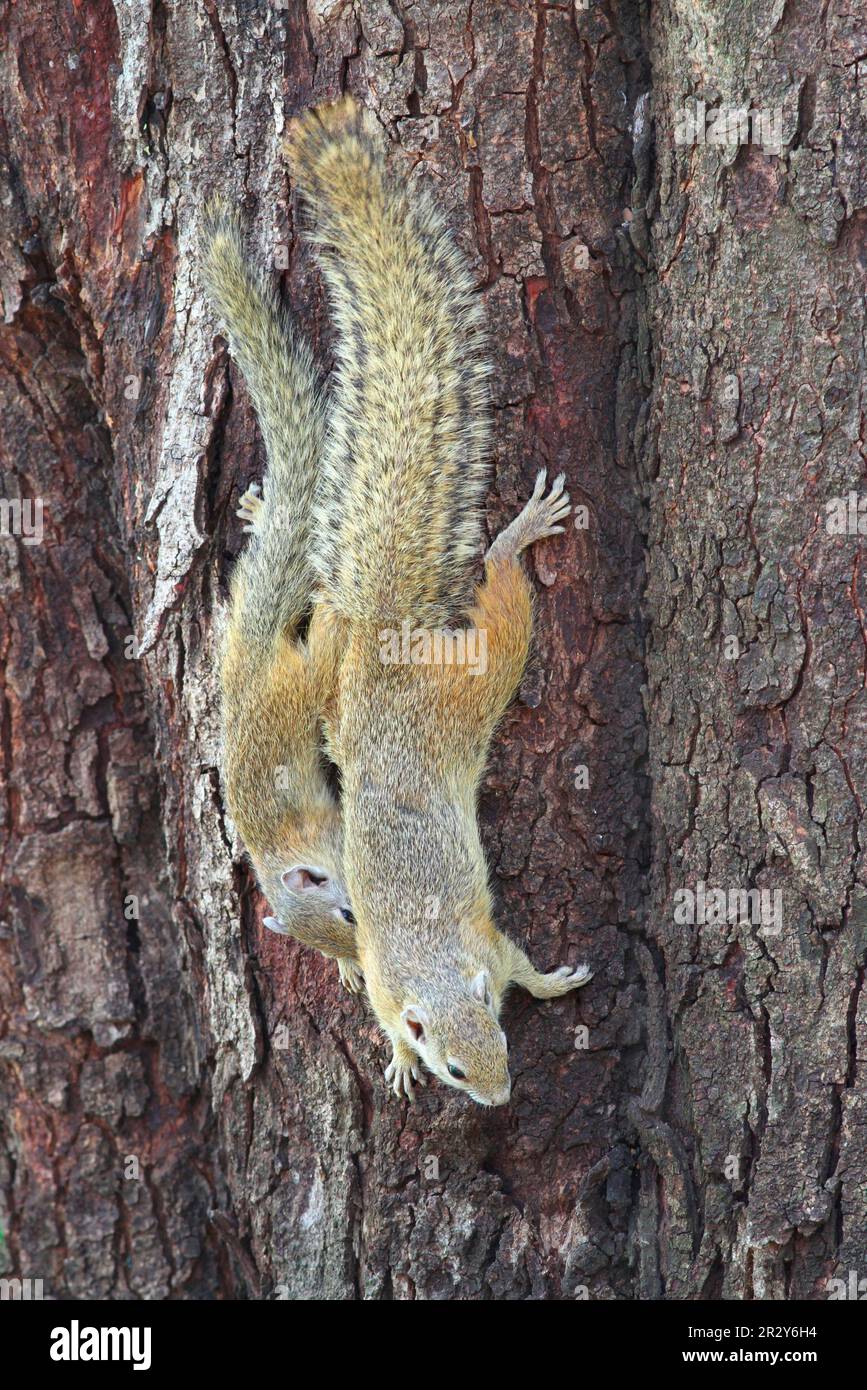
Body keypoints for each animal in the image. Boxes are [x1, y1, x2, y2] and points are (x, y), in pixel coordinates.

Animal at [285, 98, 592, 1106]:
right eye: (454, 1066)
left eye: (497, 1031)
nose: (497, 1100)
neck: (430, 965)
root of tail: (386, 653)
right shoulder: (395, 983)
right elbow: (388, 1021)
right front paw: (390, 1059)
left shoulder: (484, 946)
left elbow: (519, 959)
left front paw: (554, 982)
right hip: (412, 700)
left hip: (465, 686)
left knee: (499, 602)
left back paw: (516, 535)